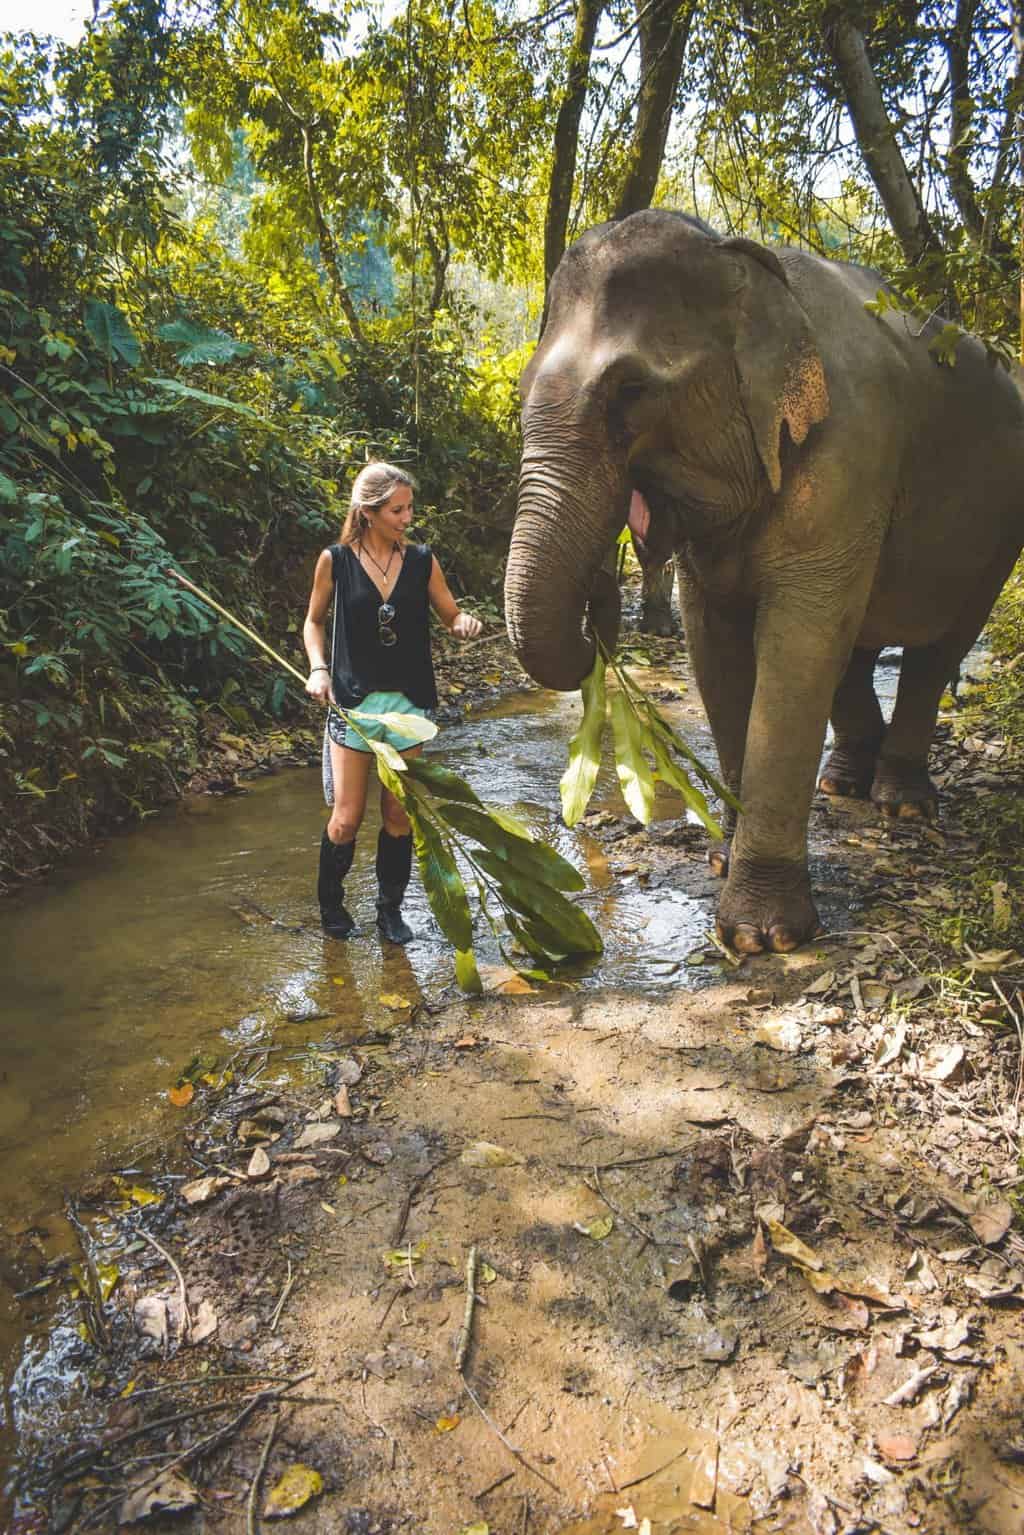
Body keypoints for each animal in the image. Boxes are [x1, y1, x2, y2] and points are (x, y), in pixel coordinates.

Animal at [504, 209, 1024, 954]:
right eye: (520, 391)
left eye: (630, 392)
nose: (600, 597)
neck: (742, 262)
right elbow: (714, 642)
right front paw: (722, 860)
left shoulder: (852, 449)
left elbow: (799, 641)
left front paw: (761, 936)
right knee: (858, 646)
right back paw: (842, 784)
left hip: (997, 534)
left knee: (935, 649)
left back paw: (900, 801)